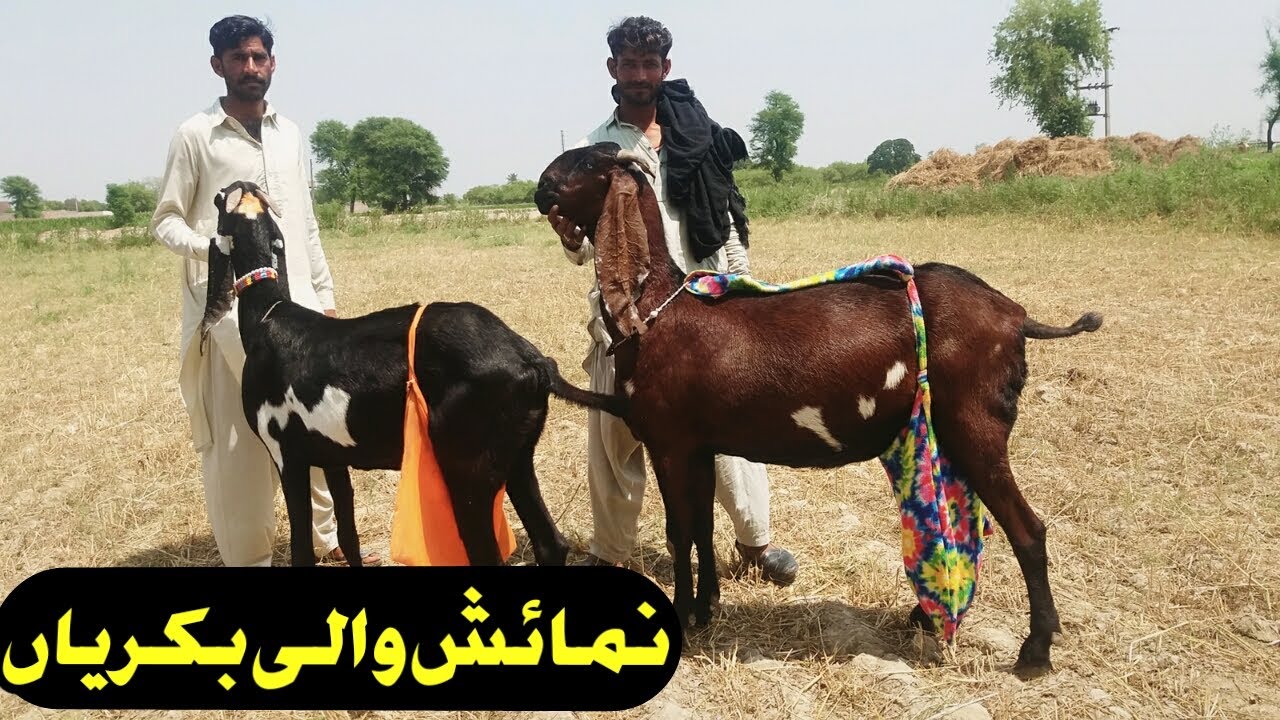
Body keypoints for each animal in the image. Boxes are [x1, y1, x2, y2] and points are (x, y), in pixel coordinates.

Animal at [201, 180, 626, 569]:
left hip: (468, 470)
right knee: (550, 544)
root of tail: (531, 358)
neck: (269, 316)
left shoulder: (287, 456)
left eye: (220, 200)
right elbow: (350, 536)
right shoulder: (334, 458)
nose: (230, 189)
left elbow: (302, 550)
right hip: (516, 458)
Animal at [533, 142, 1103, 674]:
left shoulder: (669, 441)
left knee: (1028, 530)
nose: (541, 188)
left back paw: (1034, 651)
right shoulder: (699, 445)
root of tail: (1016, 316)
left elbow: (680, 532)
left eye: (586, 162)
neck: (658, 308)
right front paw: (706, 608)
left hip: (974, 425)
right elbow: (701, 527)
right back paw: (929, 618)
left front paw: (685, 616)